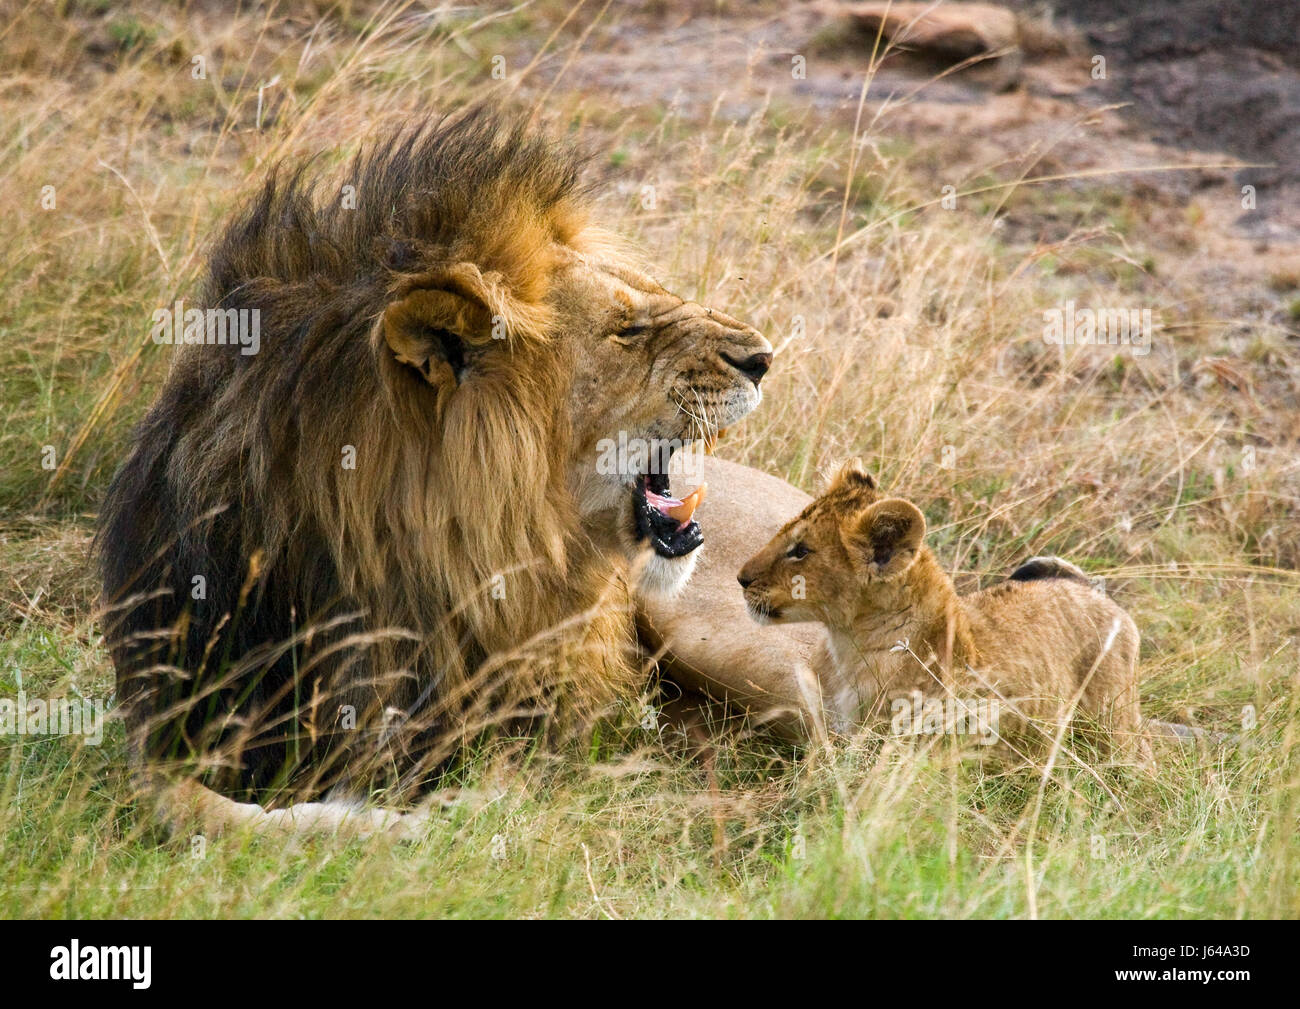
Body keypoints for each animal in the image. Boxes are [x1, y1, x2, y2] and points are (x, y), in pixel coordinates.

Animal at [734, 460, 1154, 766]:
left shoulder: (896, 750)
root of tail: (1090, 589)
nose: (741, 578)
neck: (848, 642)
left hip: (1114, 724)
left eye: (800, 550)